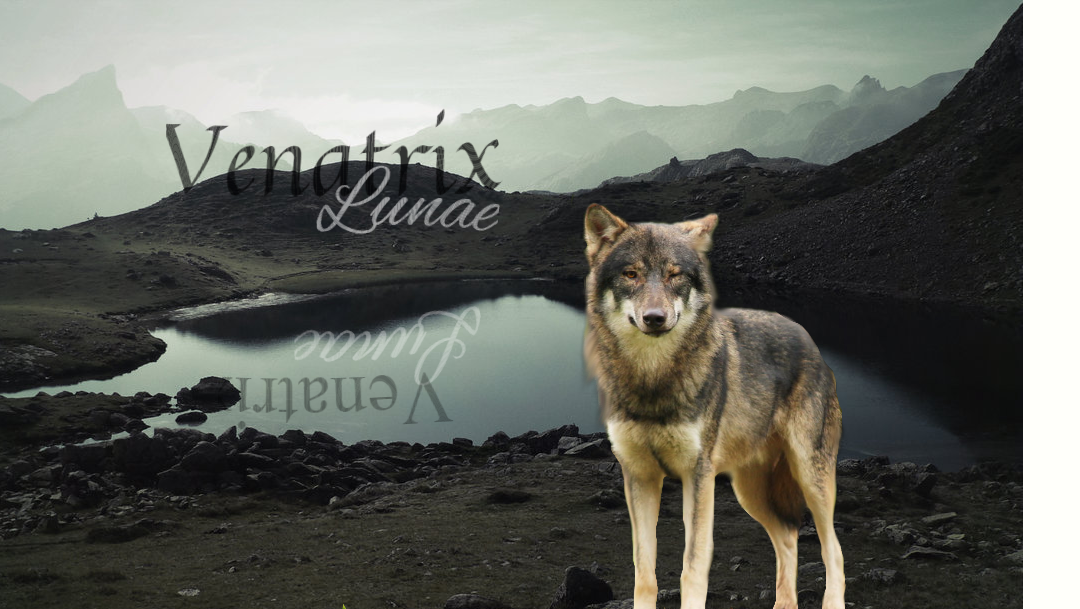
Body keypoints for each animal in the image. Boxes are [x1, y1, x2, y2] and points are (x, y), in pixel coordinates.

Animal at [583, 204, 845, 609]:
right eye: (631, 274)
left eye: (674, 275)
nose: (655, 318)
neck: (653, 378)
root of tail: (809, 341)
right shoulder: (639, 476)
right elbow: (644, 572)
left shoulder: (698, 476)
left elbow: (692, 569)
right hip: (750, 492)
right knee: (787, 538)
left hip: (810, 478)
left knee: (833, 548)